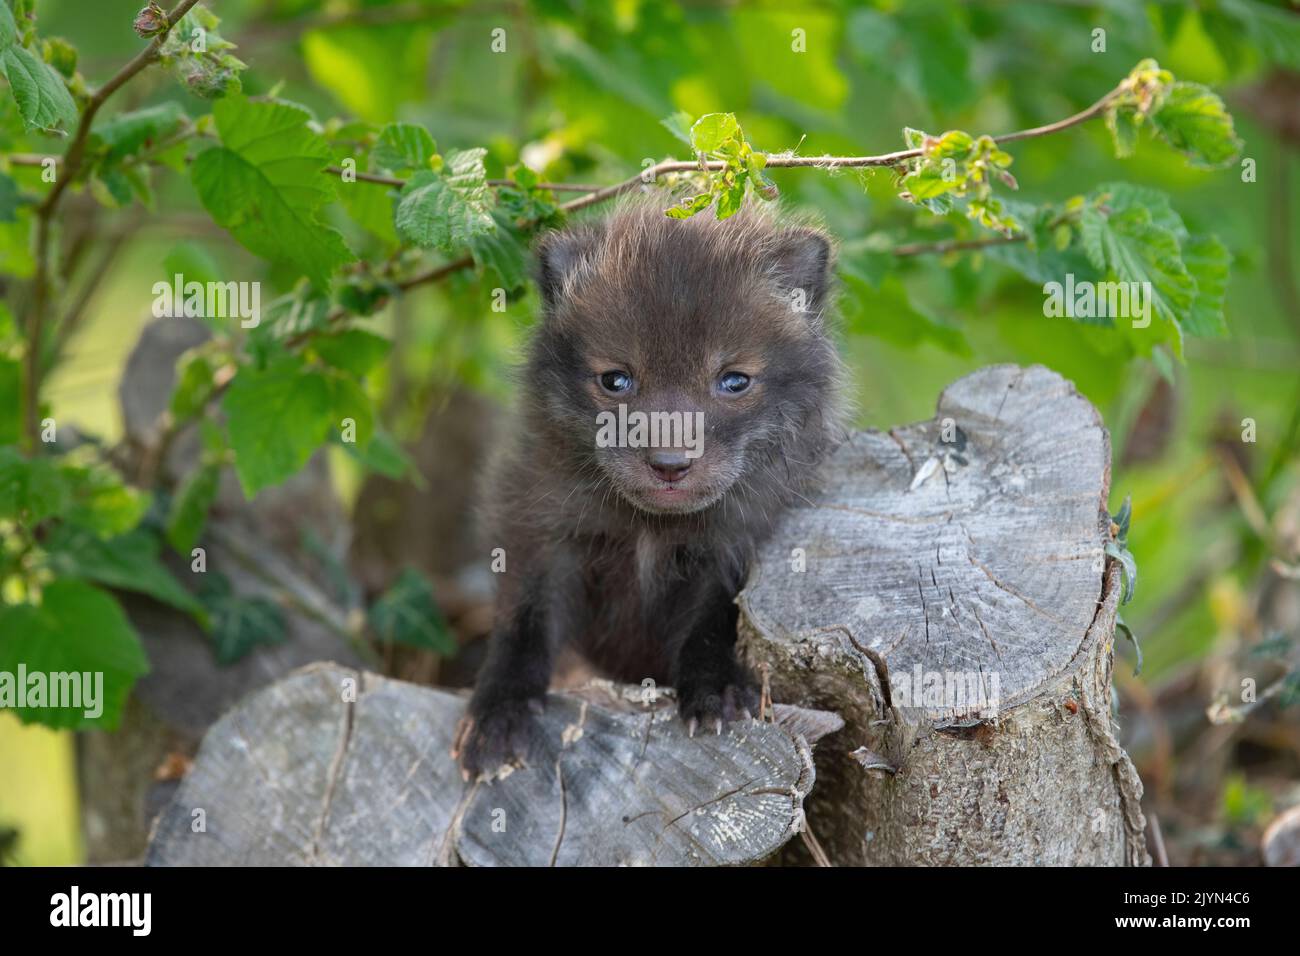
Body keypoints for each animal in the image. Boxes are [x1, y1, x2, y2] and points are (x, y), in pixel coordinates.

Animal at [454, 197, 845, 779]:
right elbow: (523, 621)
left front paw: (714, 690)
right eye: (616, 380)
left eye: (734, 380)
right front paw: (498, 710)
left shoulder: (735, 540)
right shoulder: (538, 522)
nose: (669, 465)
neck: (649, 531)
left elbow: (712, 620)